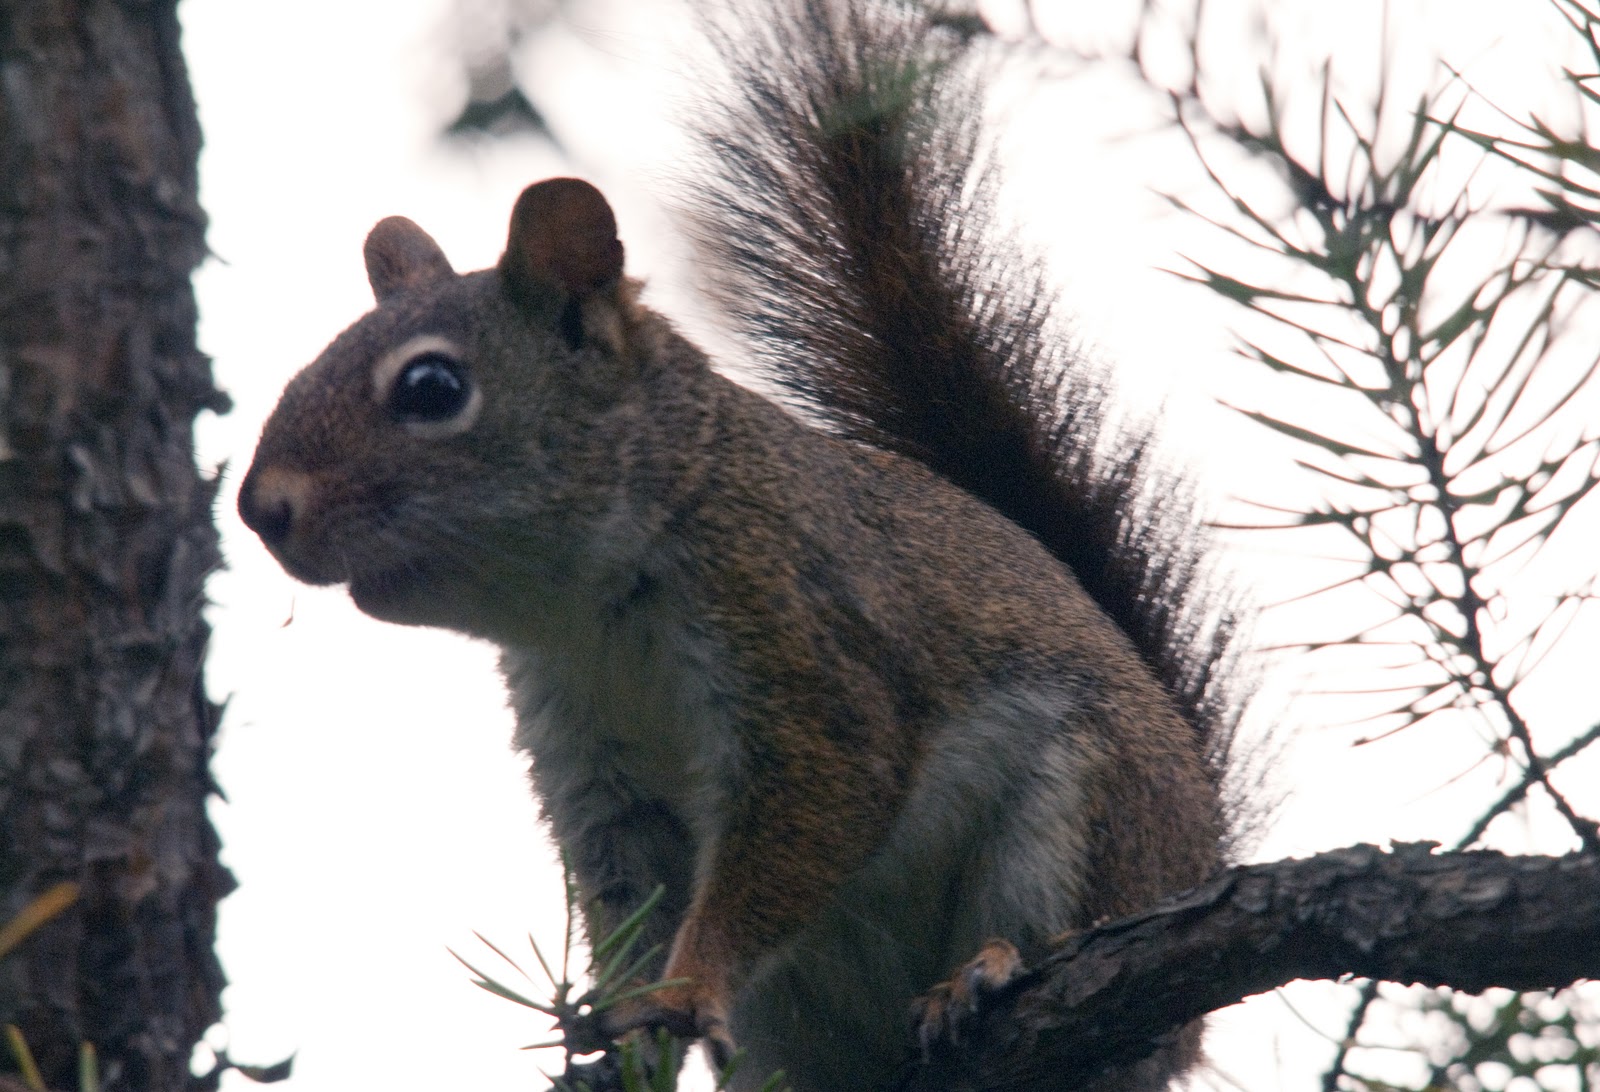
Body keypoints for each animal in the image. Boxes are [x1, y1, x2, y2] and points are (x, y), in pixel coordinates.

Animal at [237, 2, 1244, 1089]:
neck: (590, 615)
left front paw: (685, 987)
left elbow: (800, 824)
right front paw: (619, 1027)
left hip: (1085, 805)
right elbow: (628, 904)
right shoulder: (592, 765)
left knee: (1057, 922)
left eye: (431, 388)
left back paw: (982, 973)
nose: (259, 508)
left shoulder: (800, 650)